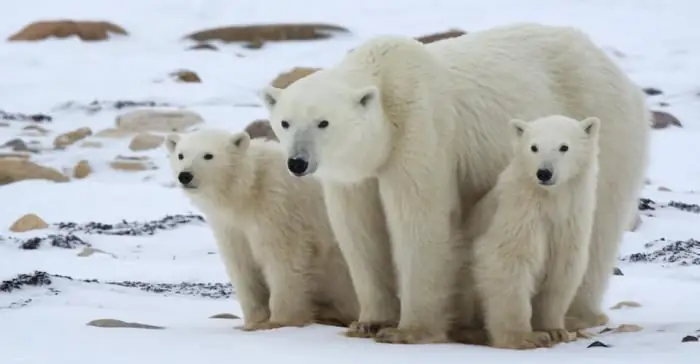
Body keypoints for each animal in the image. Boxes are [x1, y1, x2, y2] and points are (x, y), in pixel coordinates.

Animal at [166, 129, 358, 332]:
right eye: (181, 155)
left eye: (208, 155)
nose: (185, 175)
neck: (250, 189)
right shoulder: (231, 227)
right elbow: (242, 265)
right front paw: (252, 321)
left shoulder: (279, 208)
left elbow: (284, 261)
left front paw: (278, 321)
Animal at [468, 114, 600, 350]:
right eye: (534, 147)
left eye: (564, 147)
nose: (544, 173)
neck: (551, 200)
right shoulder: (520, 214)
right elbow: (507, 260)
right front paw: (525, 337)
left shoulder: (570, 223)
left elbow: (562, 269)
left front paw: (555, 330)